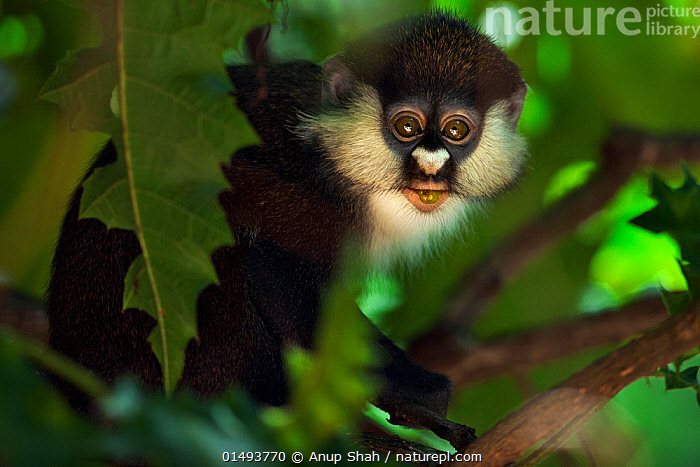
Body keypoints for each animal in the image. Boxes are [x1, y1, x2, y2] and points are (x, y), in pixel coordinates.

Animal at [47, 11, 527, 421]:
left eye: (456, 130)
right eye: (406, 127)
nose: (431, 167)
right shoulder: (311, 203)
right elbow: (266, 263)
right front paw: (421, 389)